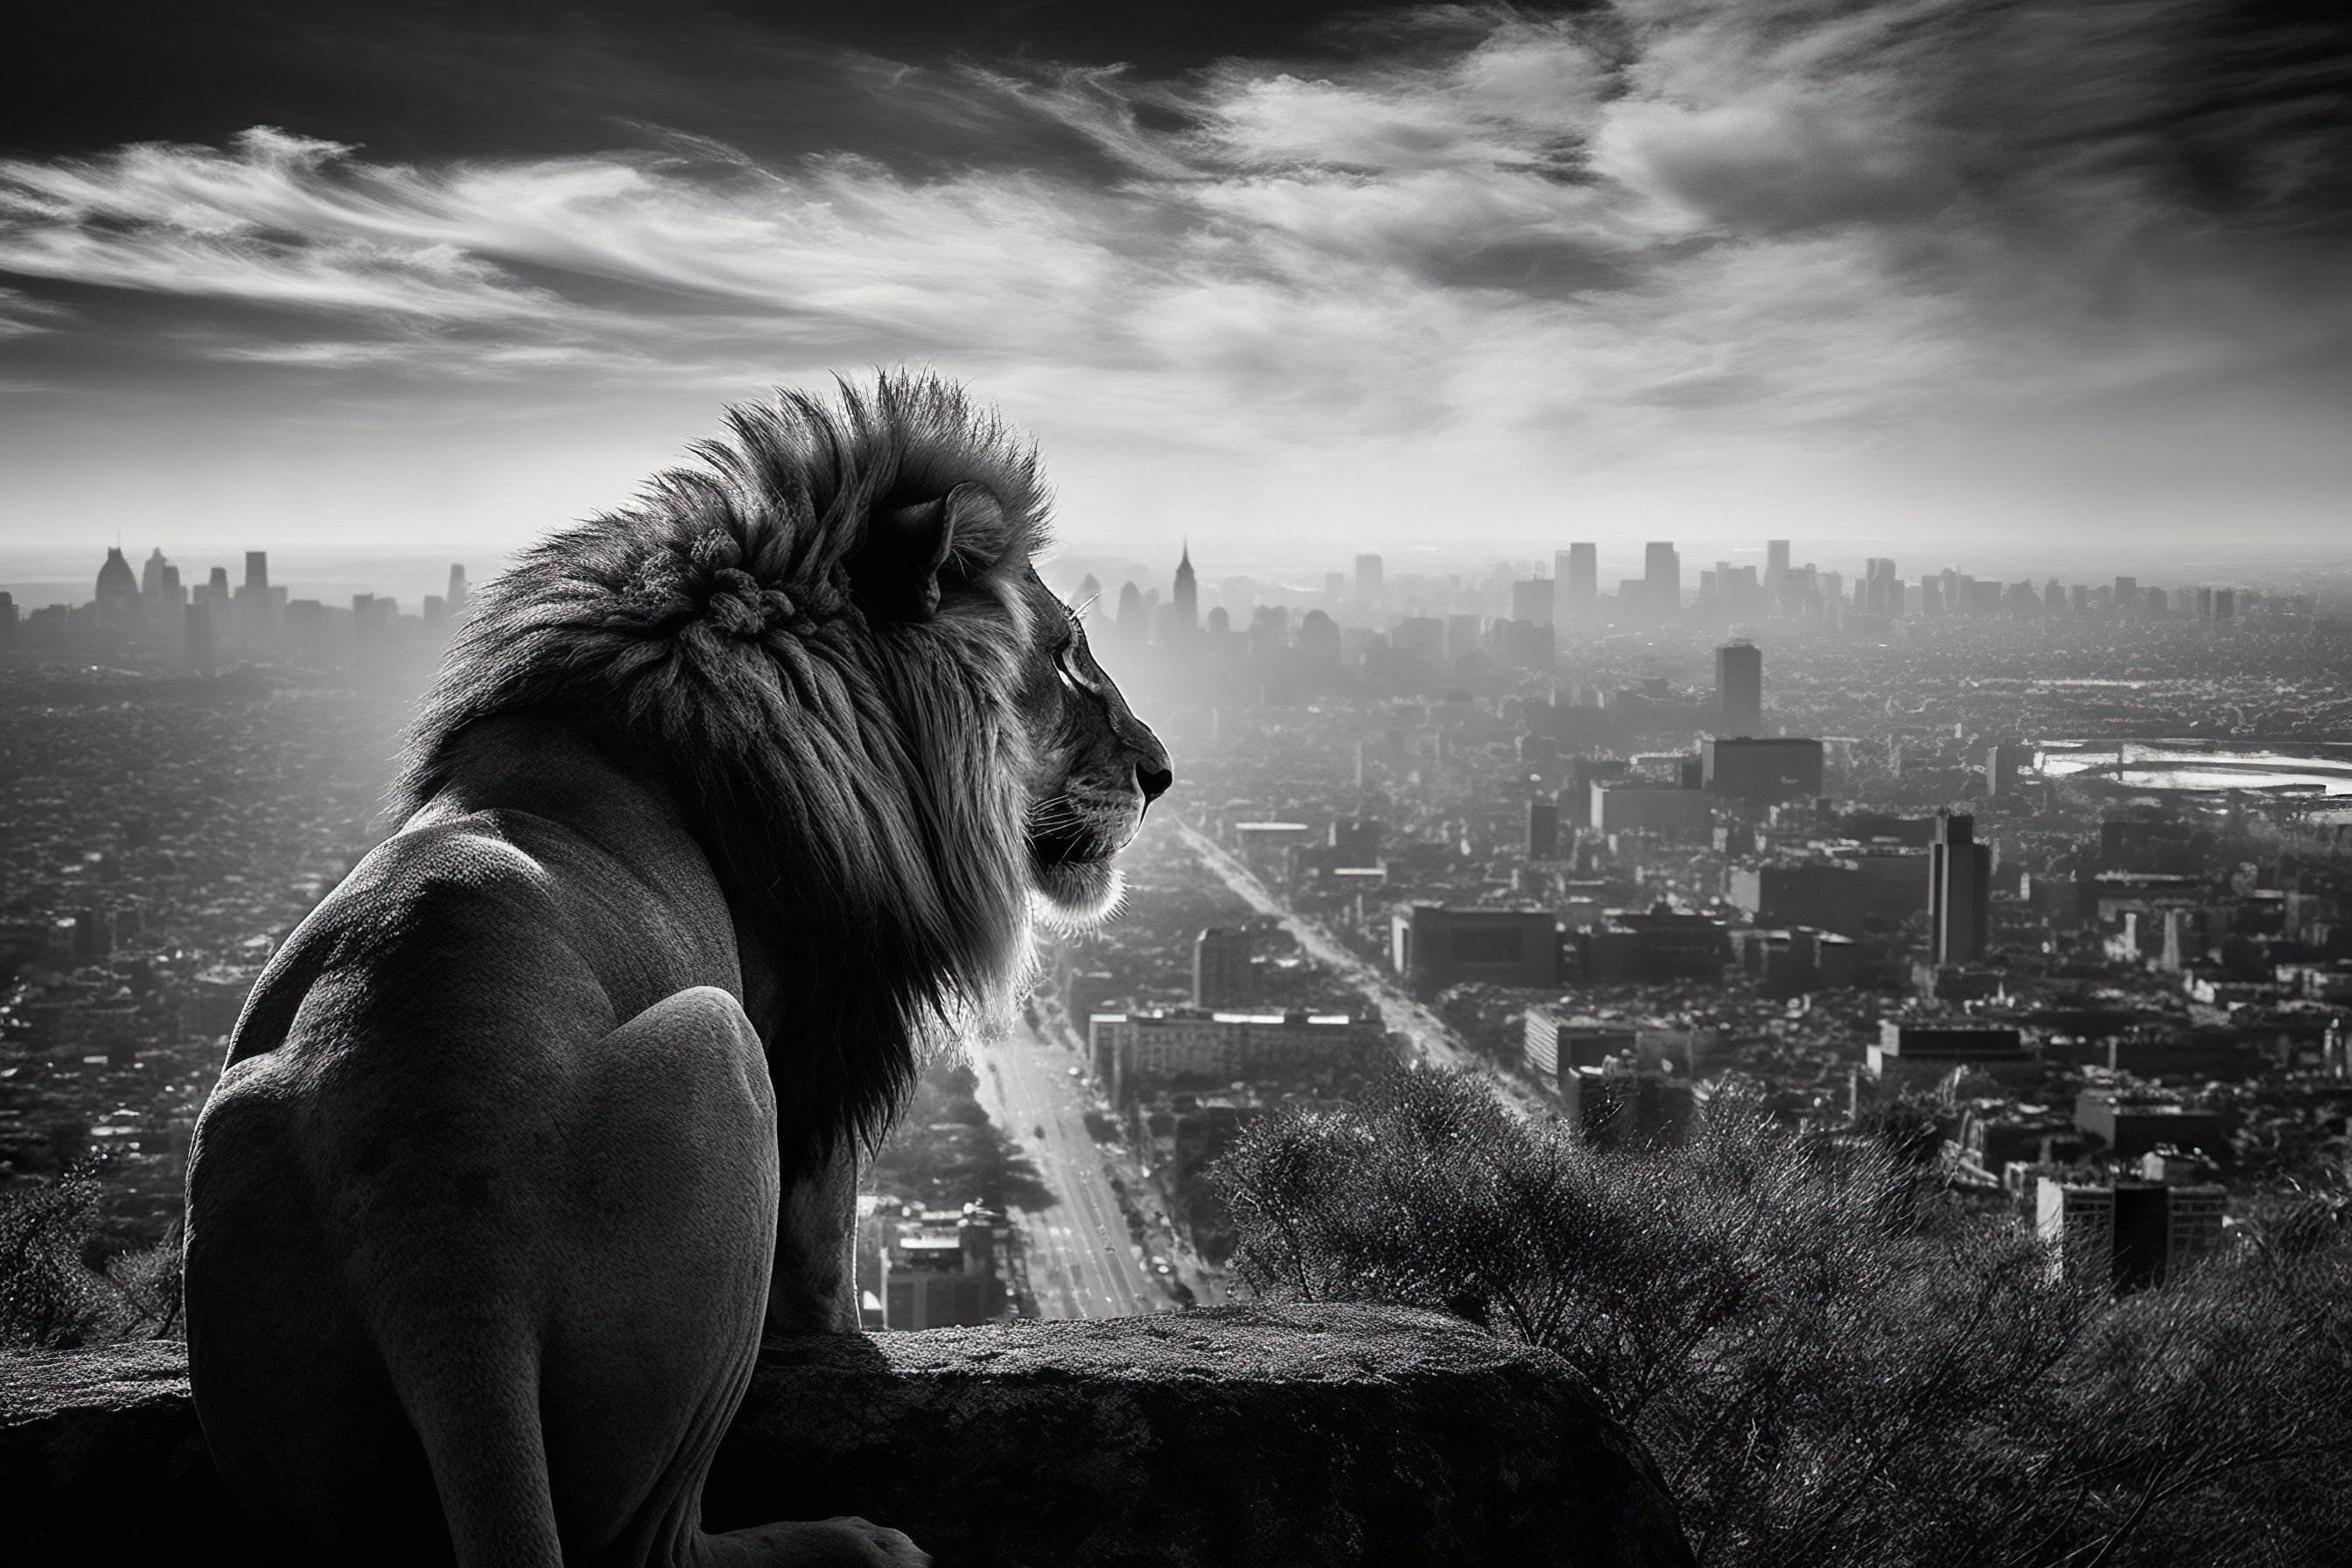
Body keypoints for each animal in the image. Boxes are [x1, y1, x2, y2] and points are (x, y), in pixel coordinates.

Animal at [181, 374, 1172, 1567]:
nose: (1163, 773)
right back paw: (851, 1540)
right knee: (663, 1543)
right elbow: (827, 1278)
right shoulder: (821, 1061)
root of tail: (446, 1284)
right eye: (1065, 654)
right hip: (721, 1048)